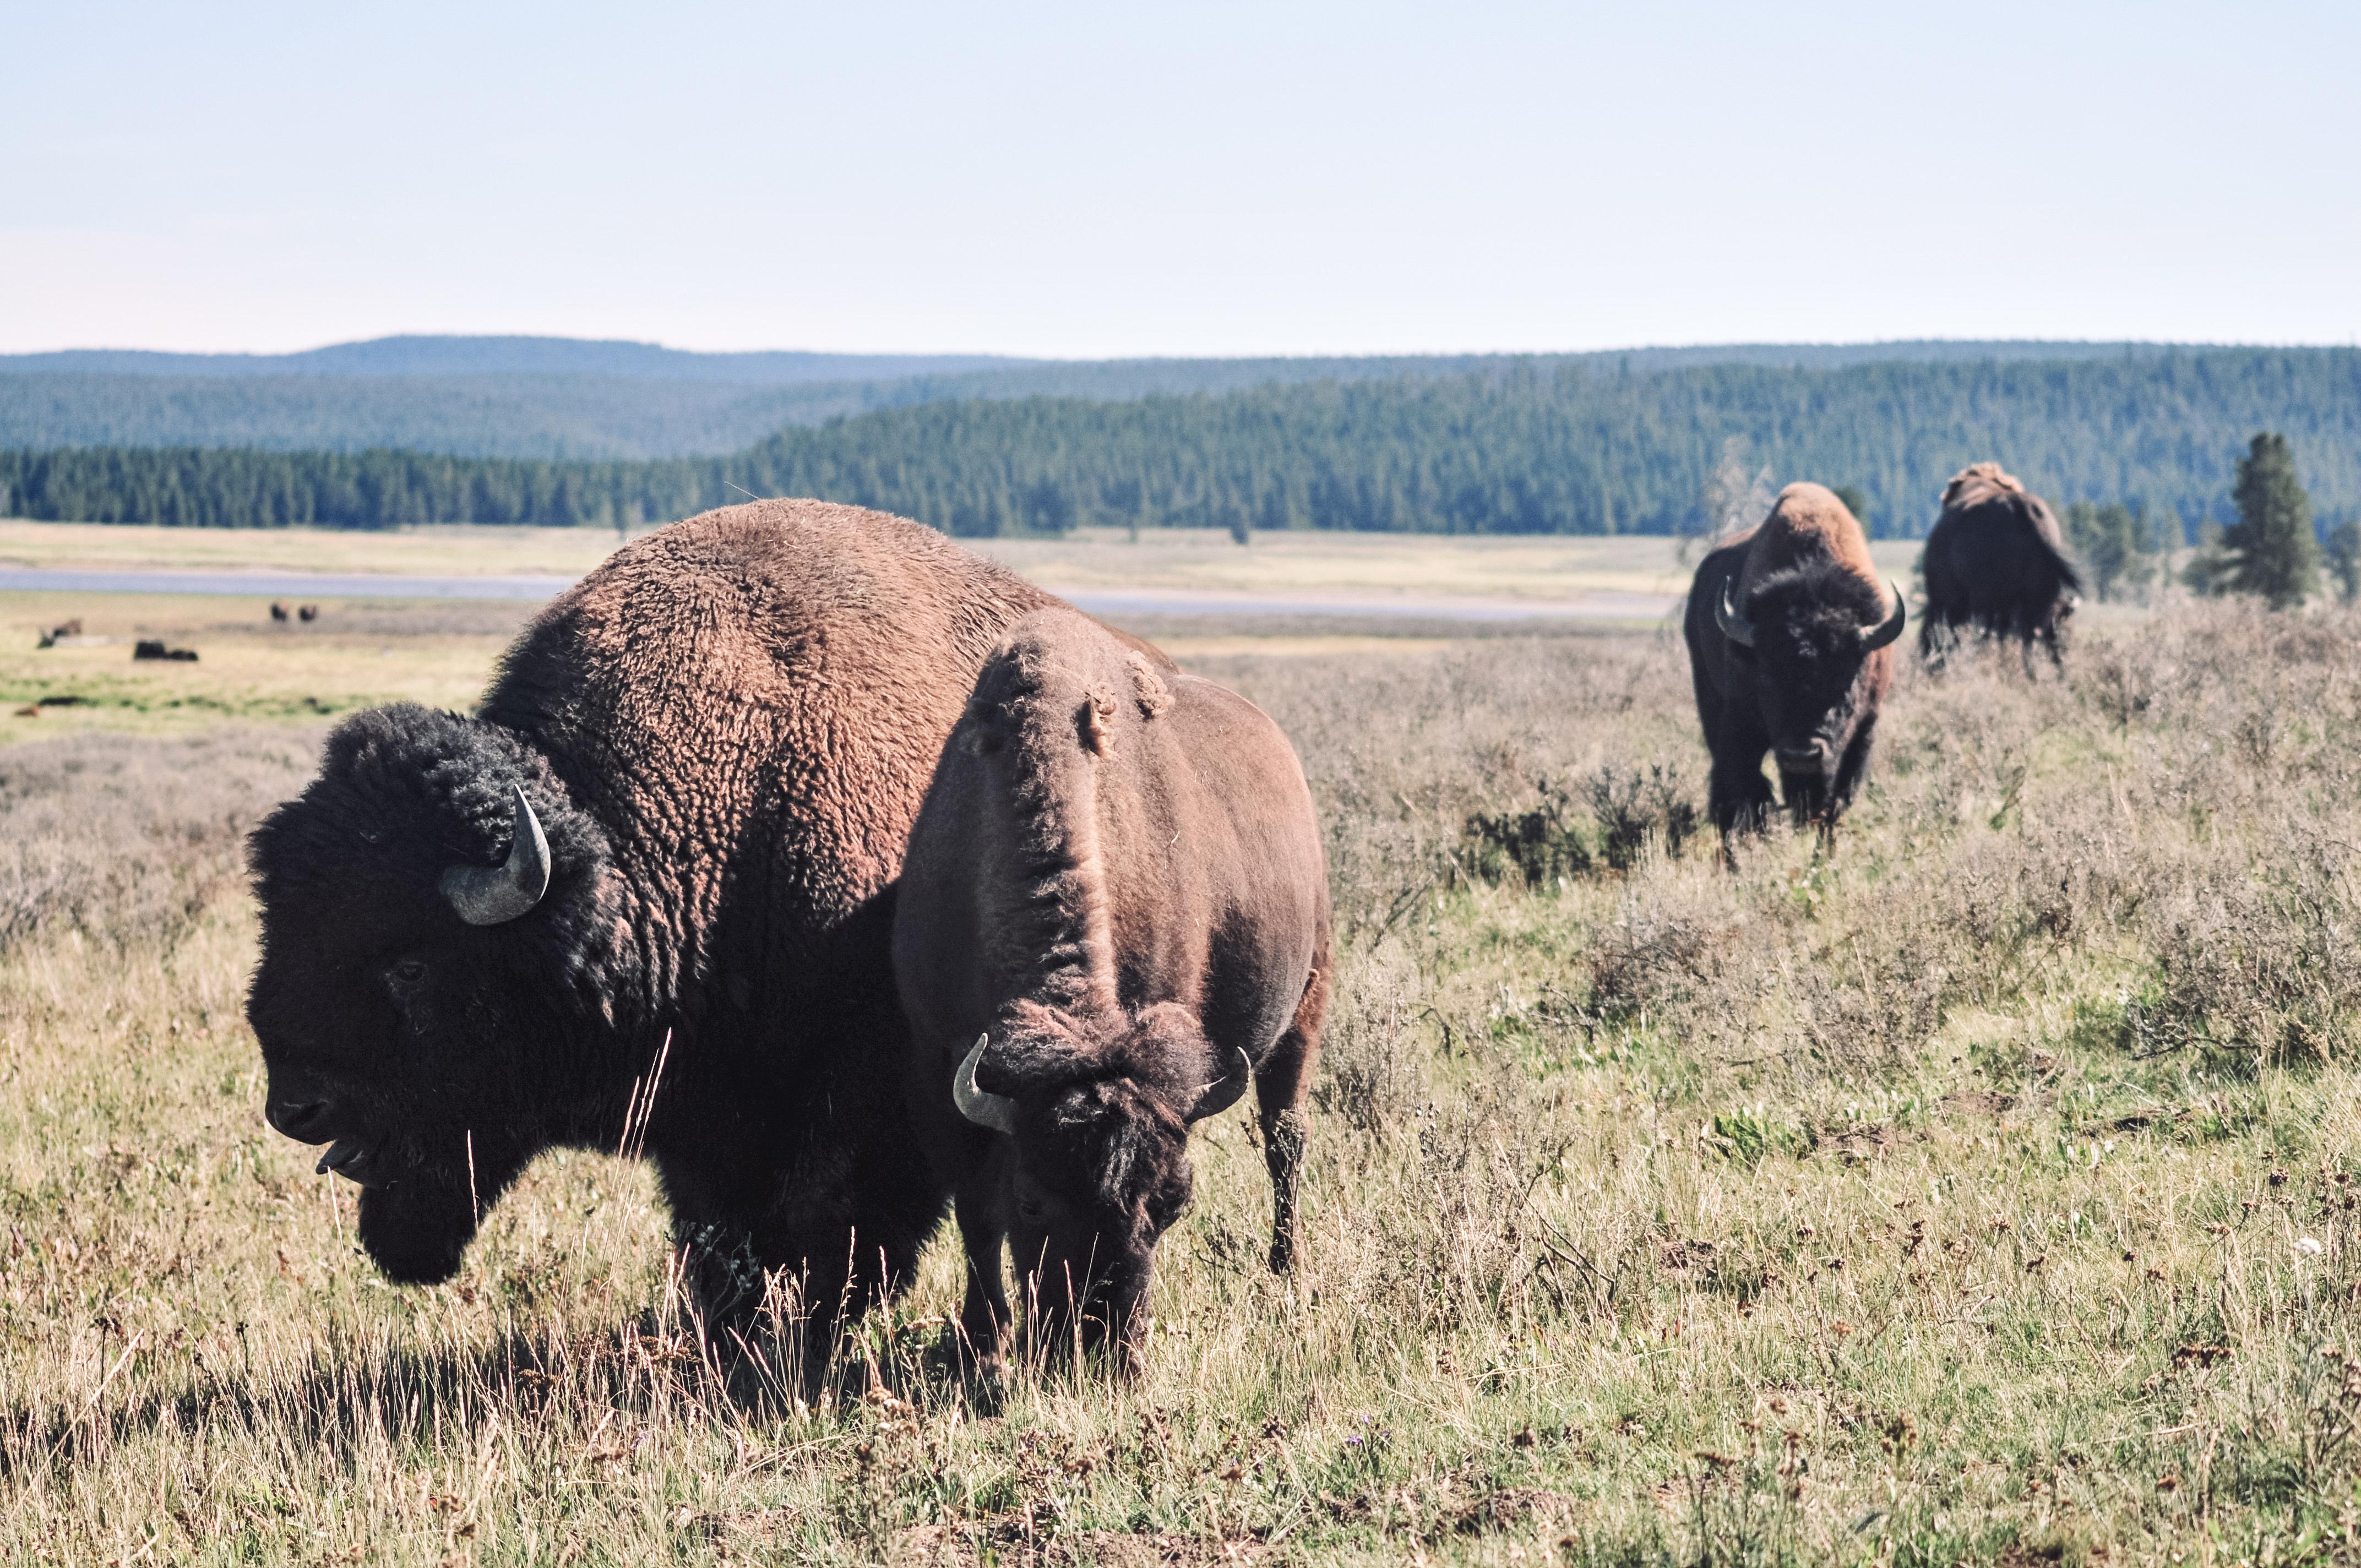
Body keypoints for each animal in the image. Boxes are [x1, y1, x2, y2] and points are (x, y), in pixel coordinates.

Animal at [248, 500, 1089, 1336]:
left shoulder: (859, 1109)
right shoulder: (707, 1128)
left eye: (412, 966)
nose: (295, 1107)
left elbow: (836, 1227)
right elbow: (720, 1237)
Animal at [892, 608, 1329, 1375]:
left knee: (1285, 1140)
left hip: (1306, 1006)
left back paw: (1287, 1272)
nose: (1101, 1351)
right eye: (1033, 1203)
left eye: (1173, 1205)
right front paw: (983, 1342)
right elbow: (974, 1212)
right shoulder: (937, 1066)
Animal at [1685, 482, 1907, 842]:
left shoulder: (1863, 731)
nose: (1802, 756)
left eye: (1845, 684)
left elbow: (1835, 803)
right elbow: (1739, 787)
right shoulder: (1738, 721)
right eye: (1766, 678)